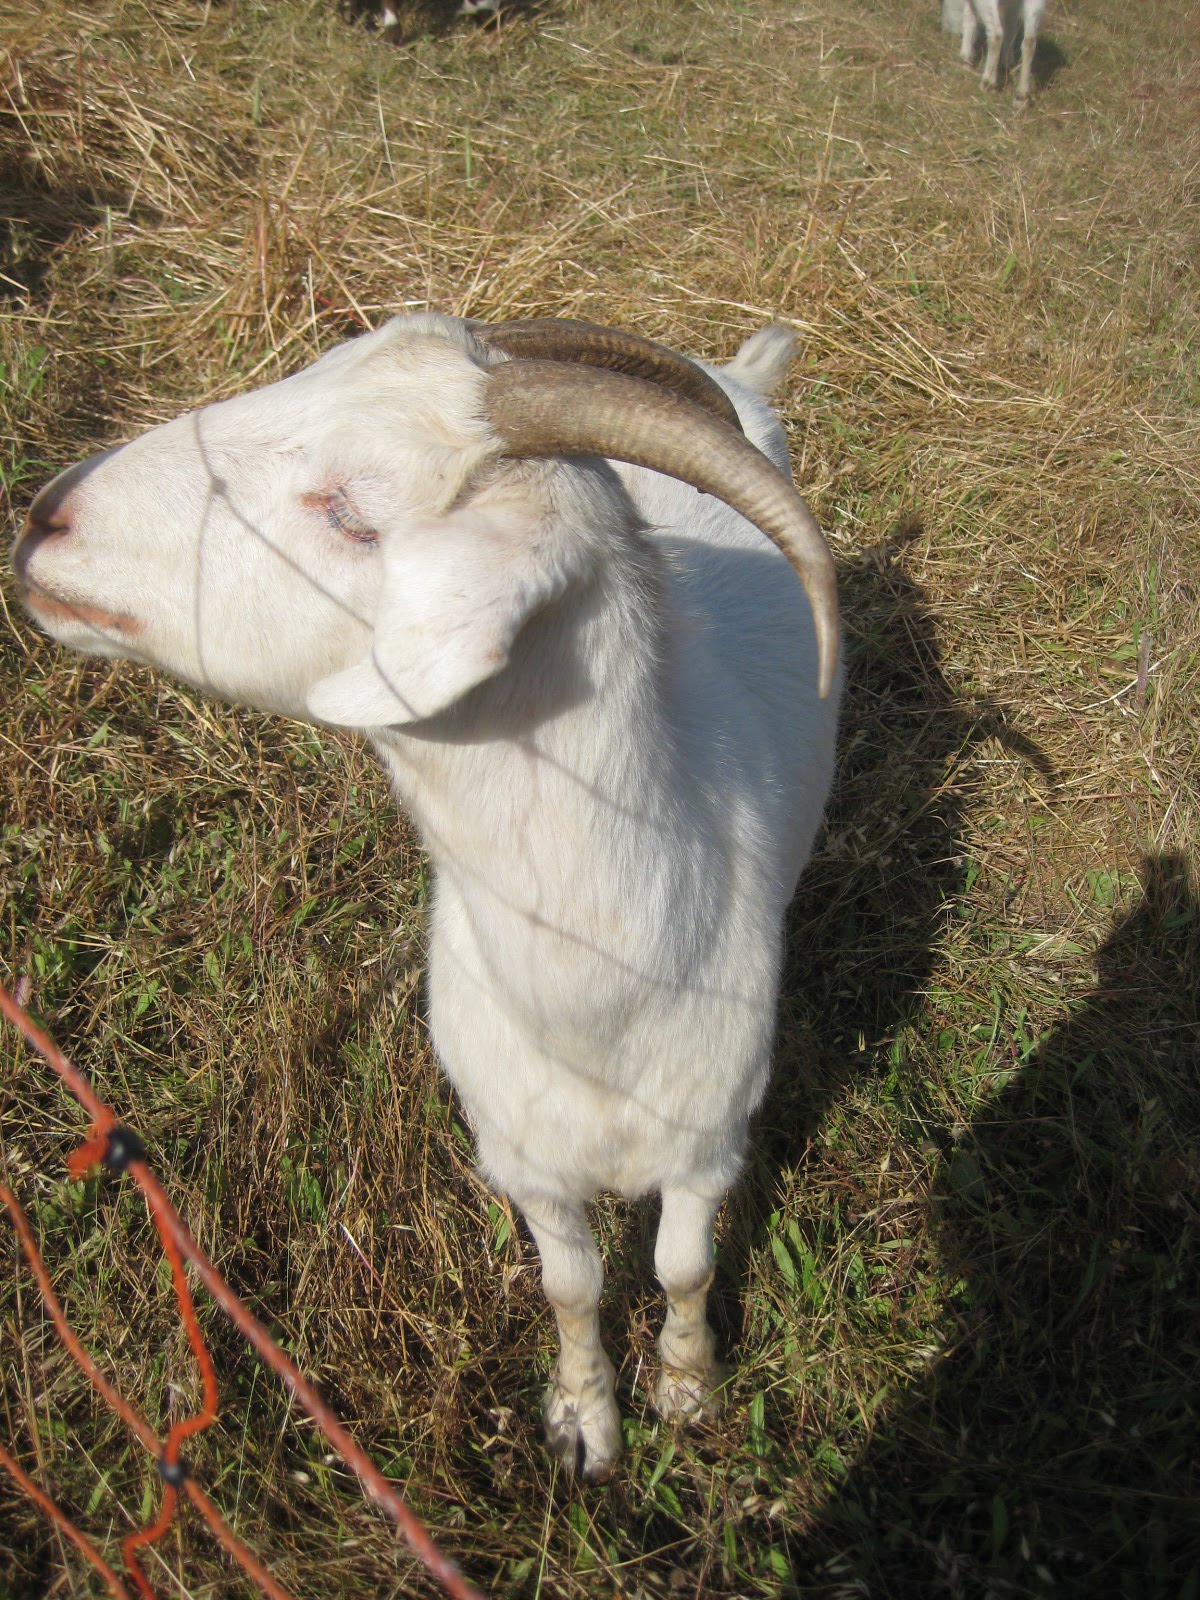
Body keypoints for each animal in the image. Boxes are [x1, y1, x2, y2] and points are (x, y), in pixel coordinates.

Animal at [13, 315, 842, 1478]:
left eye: (353, 515)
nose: (50, 513)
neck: (607, 989)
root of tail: (740, 369)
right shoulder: (520, 1155)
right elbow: (571, 1286)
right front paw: (585, 1422)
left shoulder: (712, 1139)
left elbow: (682, 1267)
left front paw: (688, 1387)